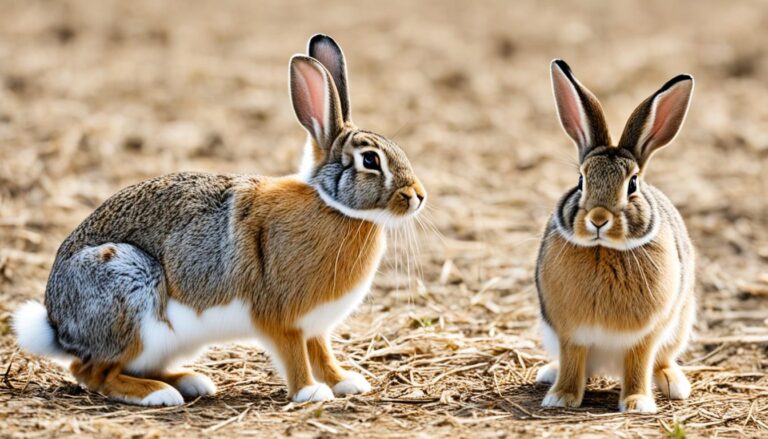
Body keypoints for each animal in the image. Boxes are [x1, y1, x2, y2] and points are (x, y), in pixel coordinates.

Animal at [13, 34, 426, 406]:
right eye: (370, 160)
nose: (418, 196)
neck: (332, 205)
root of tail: (57, 324)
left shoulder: (316, 327)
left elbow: (322, 354)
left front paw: (347, 382)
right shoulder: (281, 319)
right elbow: (295, 357)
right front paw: (310, 393)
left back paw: (190, 382)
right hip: (128, 287)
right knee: (93, 372)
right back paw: (159, 395)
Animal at [534, 60, 695, 413]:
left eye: (632, 183)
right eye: (580, 181)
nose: (598, 219)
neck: (603, 249)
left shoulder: (644, 337)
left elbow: (639, 365)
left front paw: (637, 403)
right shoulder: (570, 334)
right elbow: (572, 361)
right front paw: (560, 397)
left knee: (661, 361)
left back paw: (673, 384)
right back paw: (548, 373)